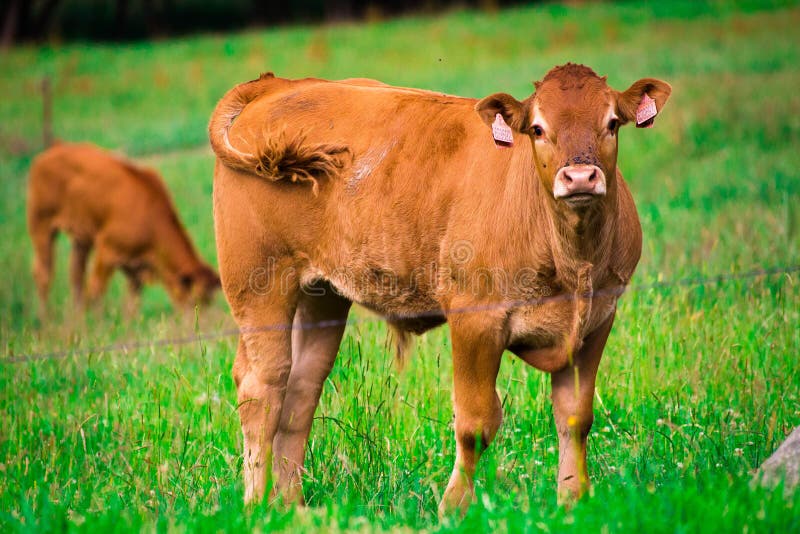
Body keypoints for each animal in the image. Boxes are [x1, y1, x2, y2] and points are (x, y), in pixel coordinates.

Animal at [28, 142, 220, 311]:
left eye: (210, 300)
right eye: (196, 299)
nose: (200, 322)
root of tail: (50, 153)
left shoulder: (136, 270)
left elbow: (131, 307)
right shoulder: (106, 252)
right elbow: (96, 291)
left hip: (81, 240)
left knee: (76, 278)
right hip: (42, 227)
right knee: (43, 275)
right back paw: (46, 319)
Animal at [208, 63, 670, 513]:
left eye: (612, 123)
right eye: (538, 128)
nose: (579, 178)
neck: (570, 258)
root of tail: (280, 84)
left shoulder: (597, 322)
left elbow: (575, 418)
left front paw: (573, 501)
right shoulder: (476, 320)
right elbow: (475, 423)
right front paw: (453, 507)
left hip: (322, 296)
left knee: (302, 389)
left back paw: (292, 506)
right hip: (260, 286)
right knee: (263, 386)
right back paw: (256, 505)